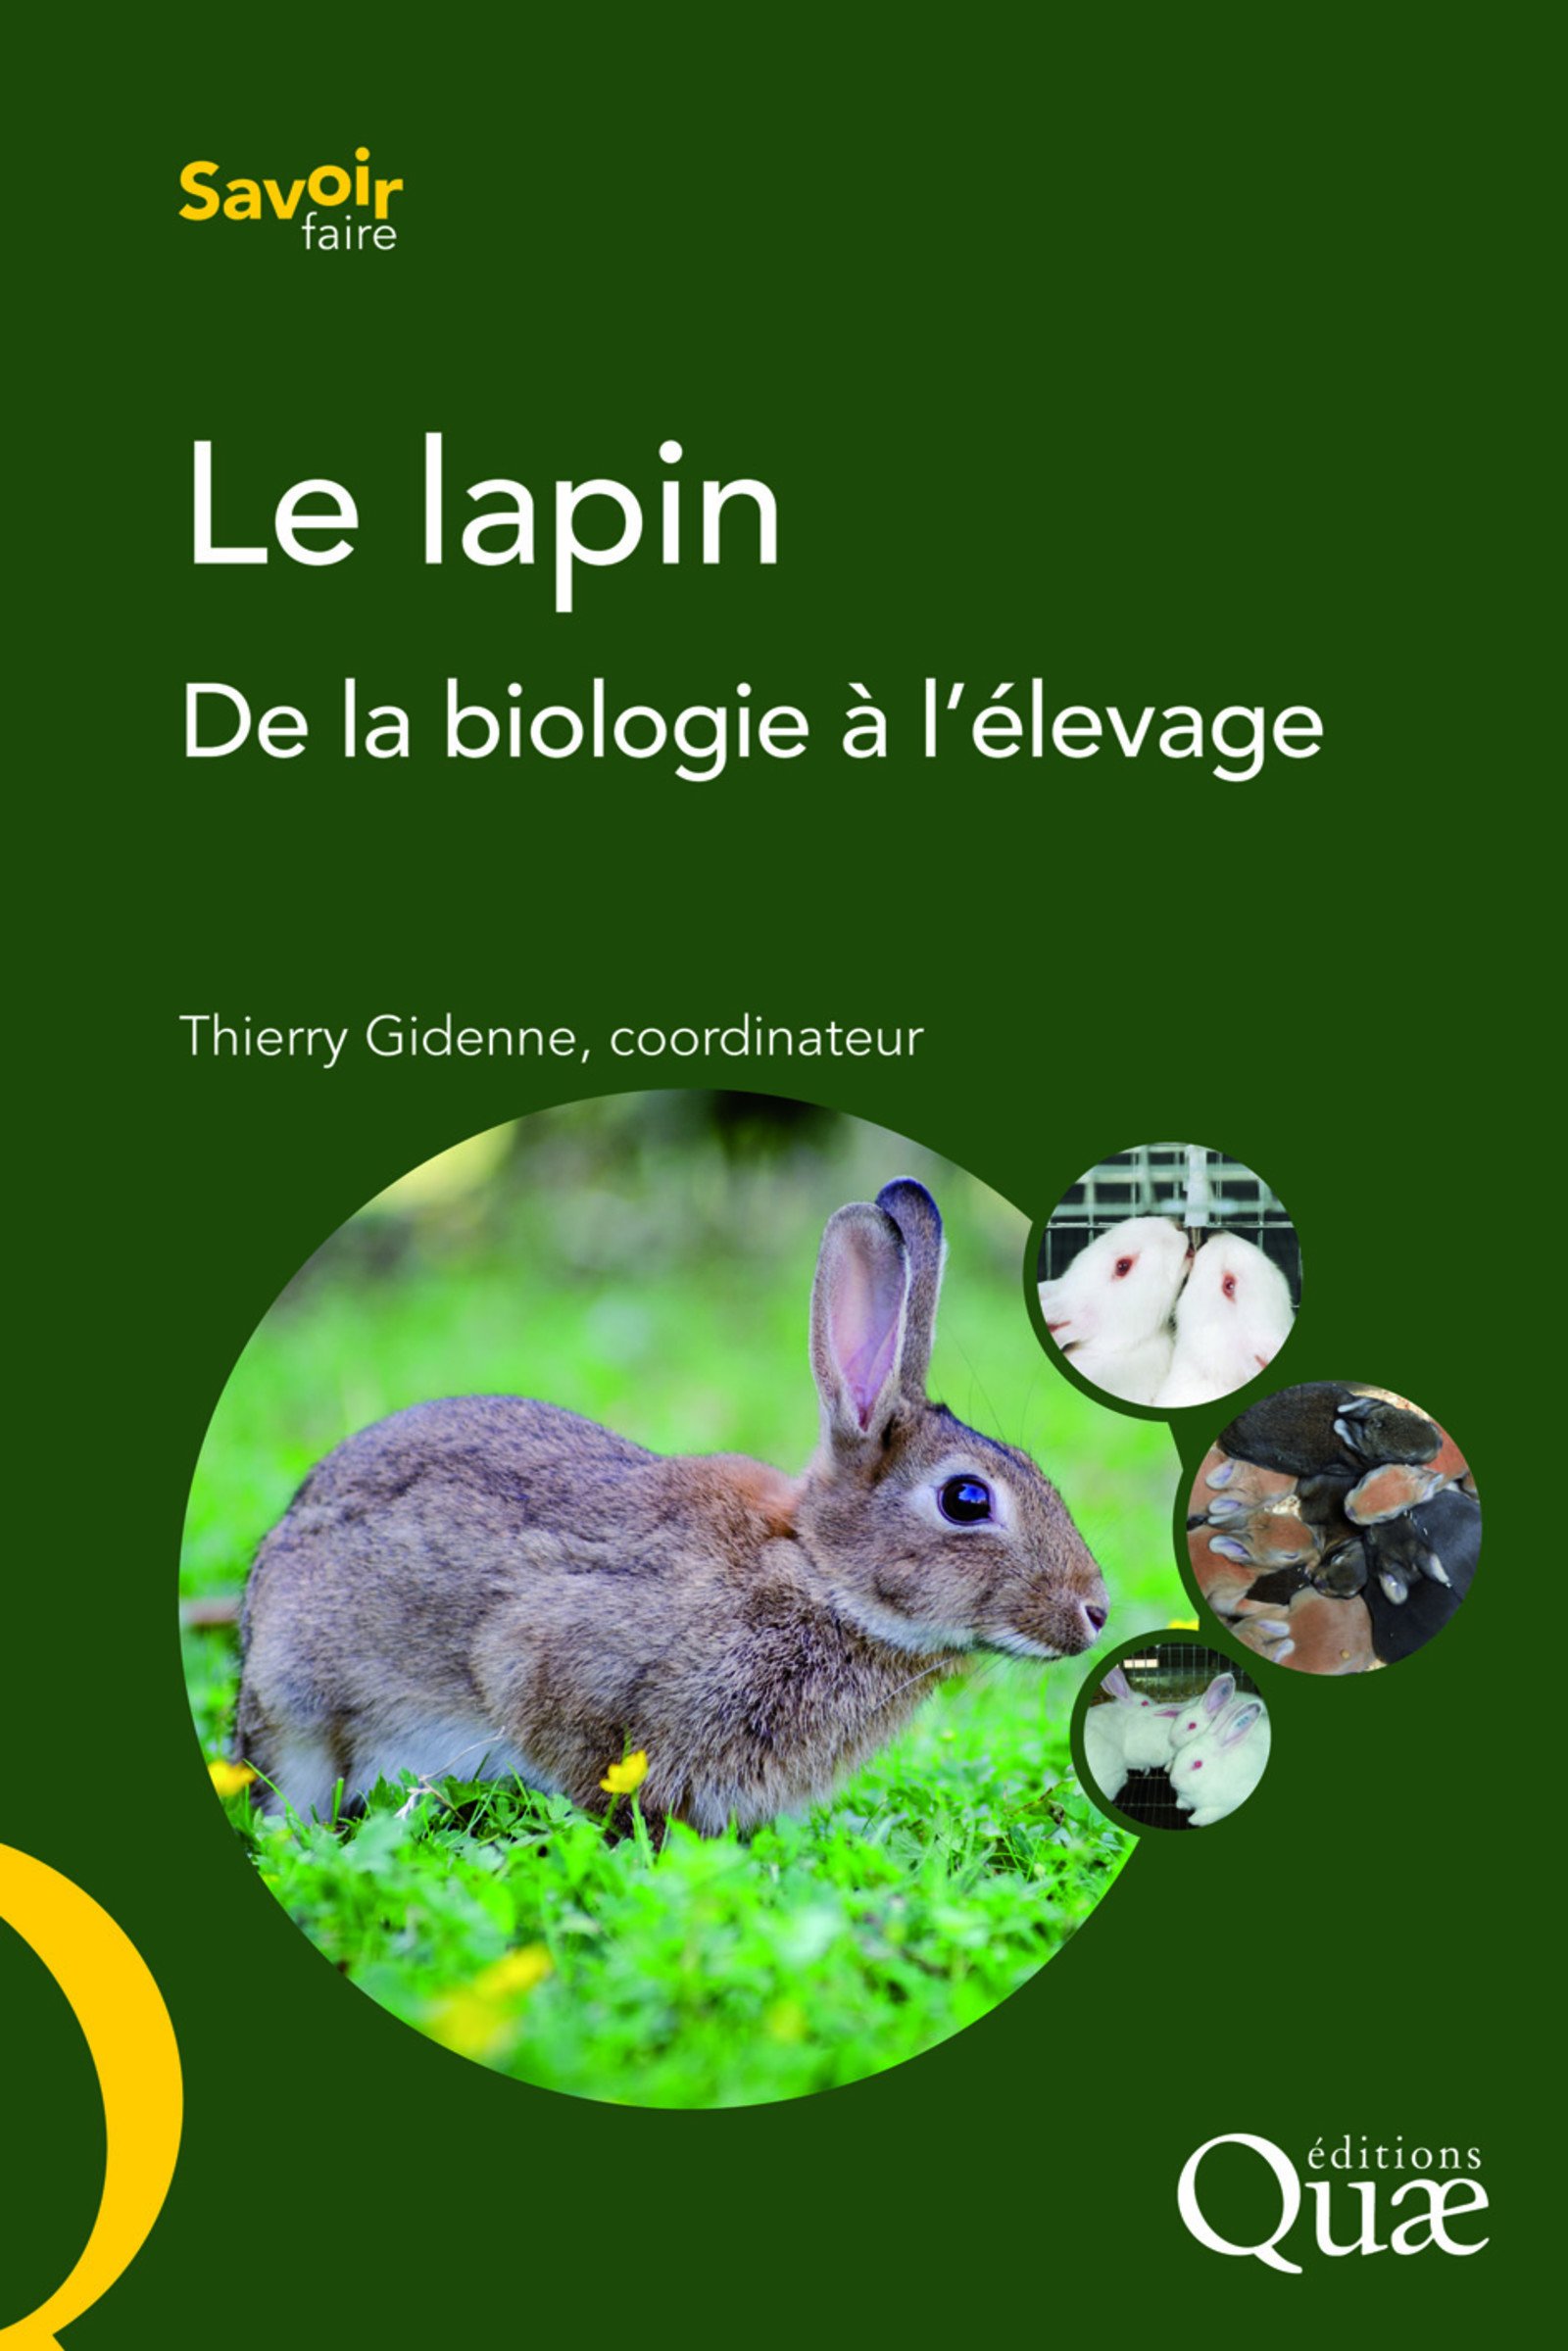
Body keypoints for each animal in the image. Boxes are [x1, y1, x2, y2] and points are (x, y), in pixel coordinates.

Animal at [1169, 1696, 1271, 1824]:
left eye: (1198, 1764)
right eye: (1180, 1753)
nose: (1173, 1780)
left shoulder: (1225, 1805)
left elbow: (1206, 1813)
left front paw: (1193, 1820)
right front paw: (1180, 1805)